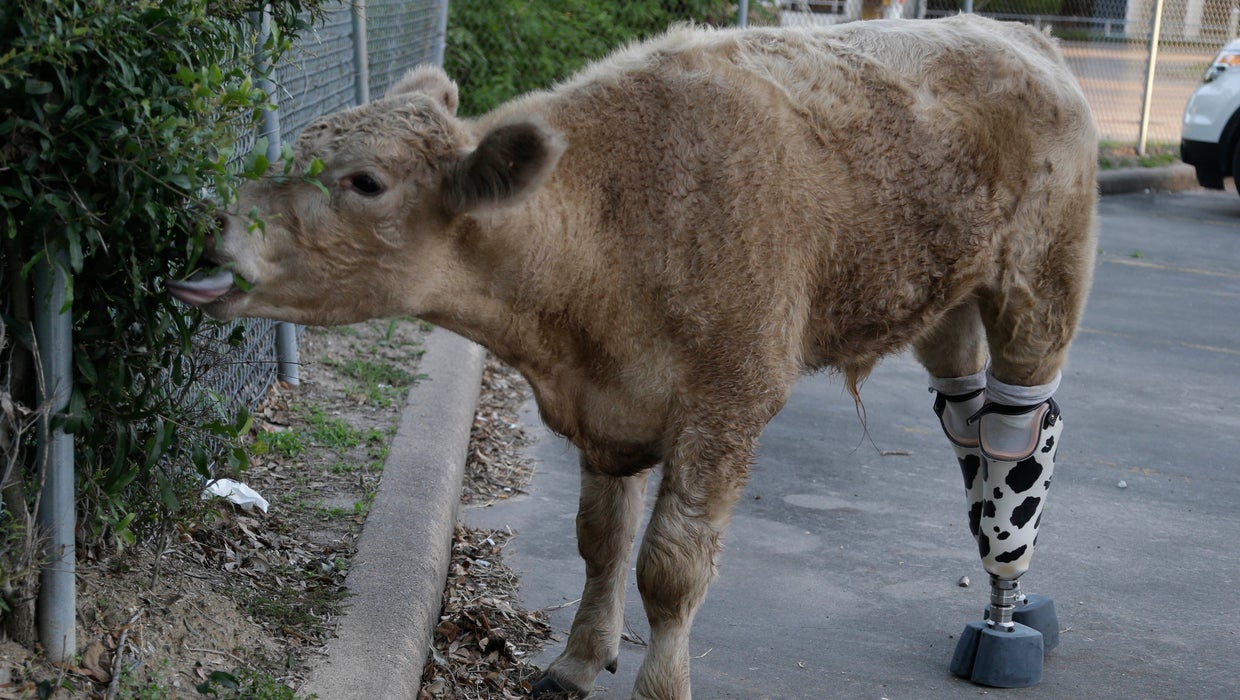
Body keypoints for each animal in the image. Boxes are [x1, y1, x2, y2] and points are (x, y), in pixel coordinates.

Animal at [169, 14, 1098, 698]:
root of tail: (1019, 34)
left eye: (364, 182)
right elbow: (600, 541)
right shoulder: (607, 409)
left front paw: (660, 684)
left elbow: (669, 572)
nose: (210, 220)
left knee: (1021, 434)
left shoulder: (725, 409)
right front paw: (579, 661)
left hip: (1040, 292)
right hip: (947, 309)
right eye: (297, 151)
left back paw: (1010, 596)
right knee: (967, 424)